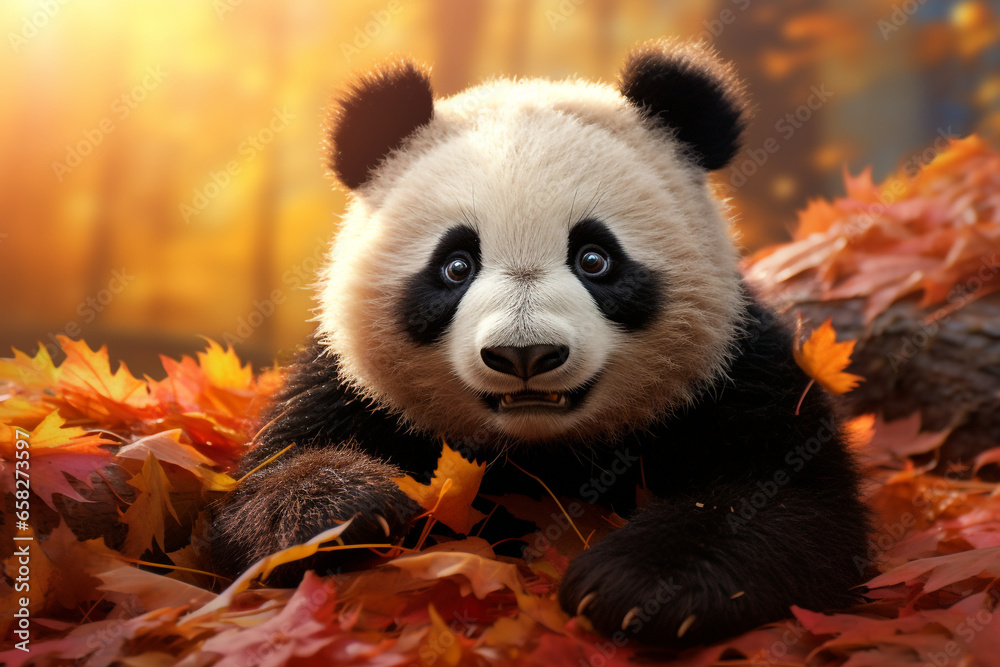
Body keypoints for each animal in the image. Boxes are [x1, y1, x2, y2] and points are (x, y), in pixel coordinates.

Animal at [212, 39, 870, 647]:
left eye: (595, 258)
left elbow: (786, 498)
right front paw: (342, 515)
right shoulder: (349, 388)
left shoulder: (734, 369)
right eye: (456, 265)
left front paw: (637, 586)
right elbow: (270, 479)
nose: (523, 355)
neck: (542, 451)